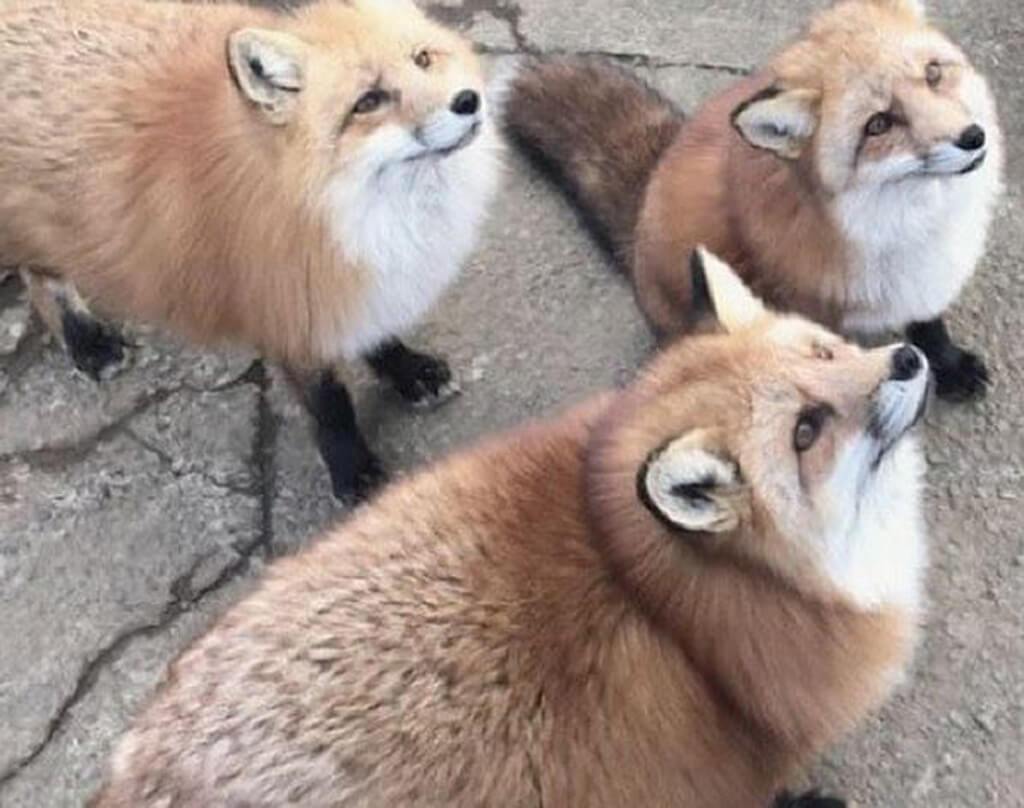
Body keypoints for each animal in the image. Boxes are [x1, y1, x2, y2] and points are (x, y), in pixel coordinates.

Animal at [0, 0, 501, 502]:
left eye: (423, 58)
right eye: (369, 102)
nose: (467, 101)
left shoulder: (351, 288)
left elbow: (379, 337)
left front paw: (409, 371)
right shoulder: (286, 308)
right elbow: (330, 407)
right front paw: (353, 473)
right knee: (40, 277)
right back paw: (86, 342)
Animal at [504, 0, 1002, 402]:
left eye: (933, 74)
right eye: (879, 125)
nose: (972, 138)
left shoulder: (924, 279)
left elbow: (929, 326)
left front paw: (949, 367)